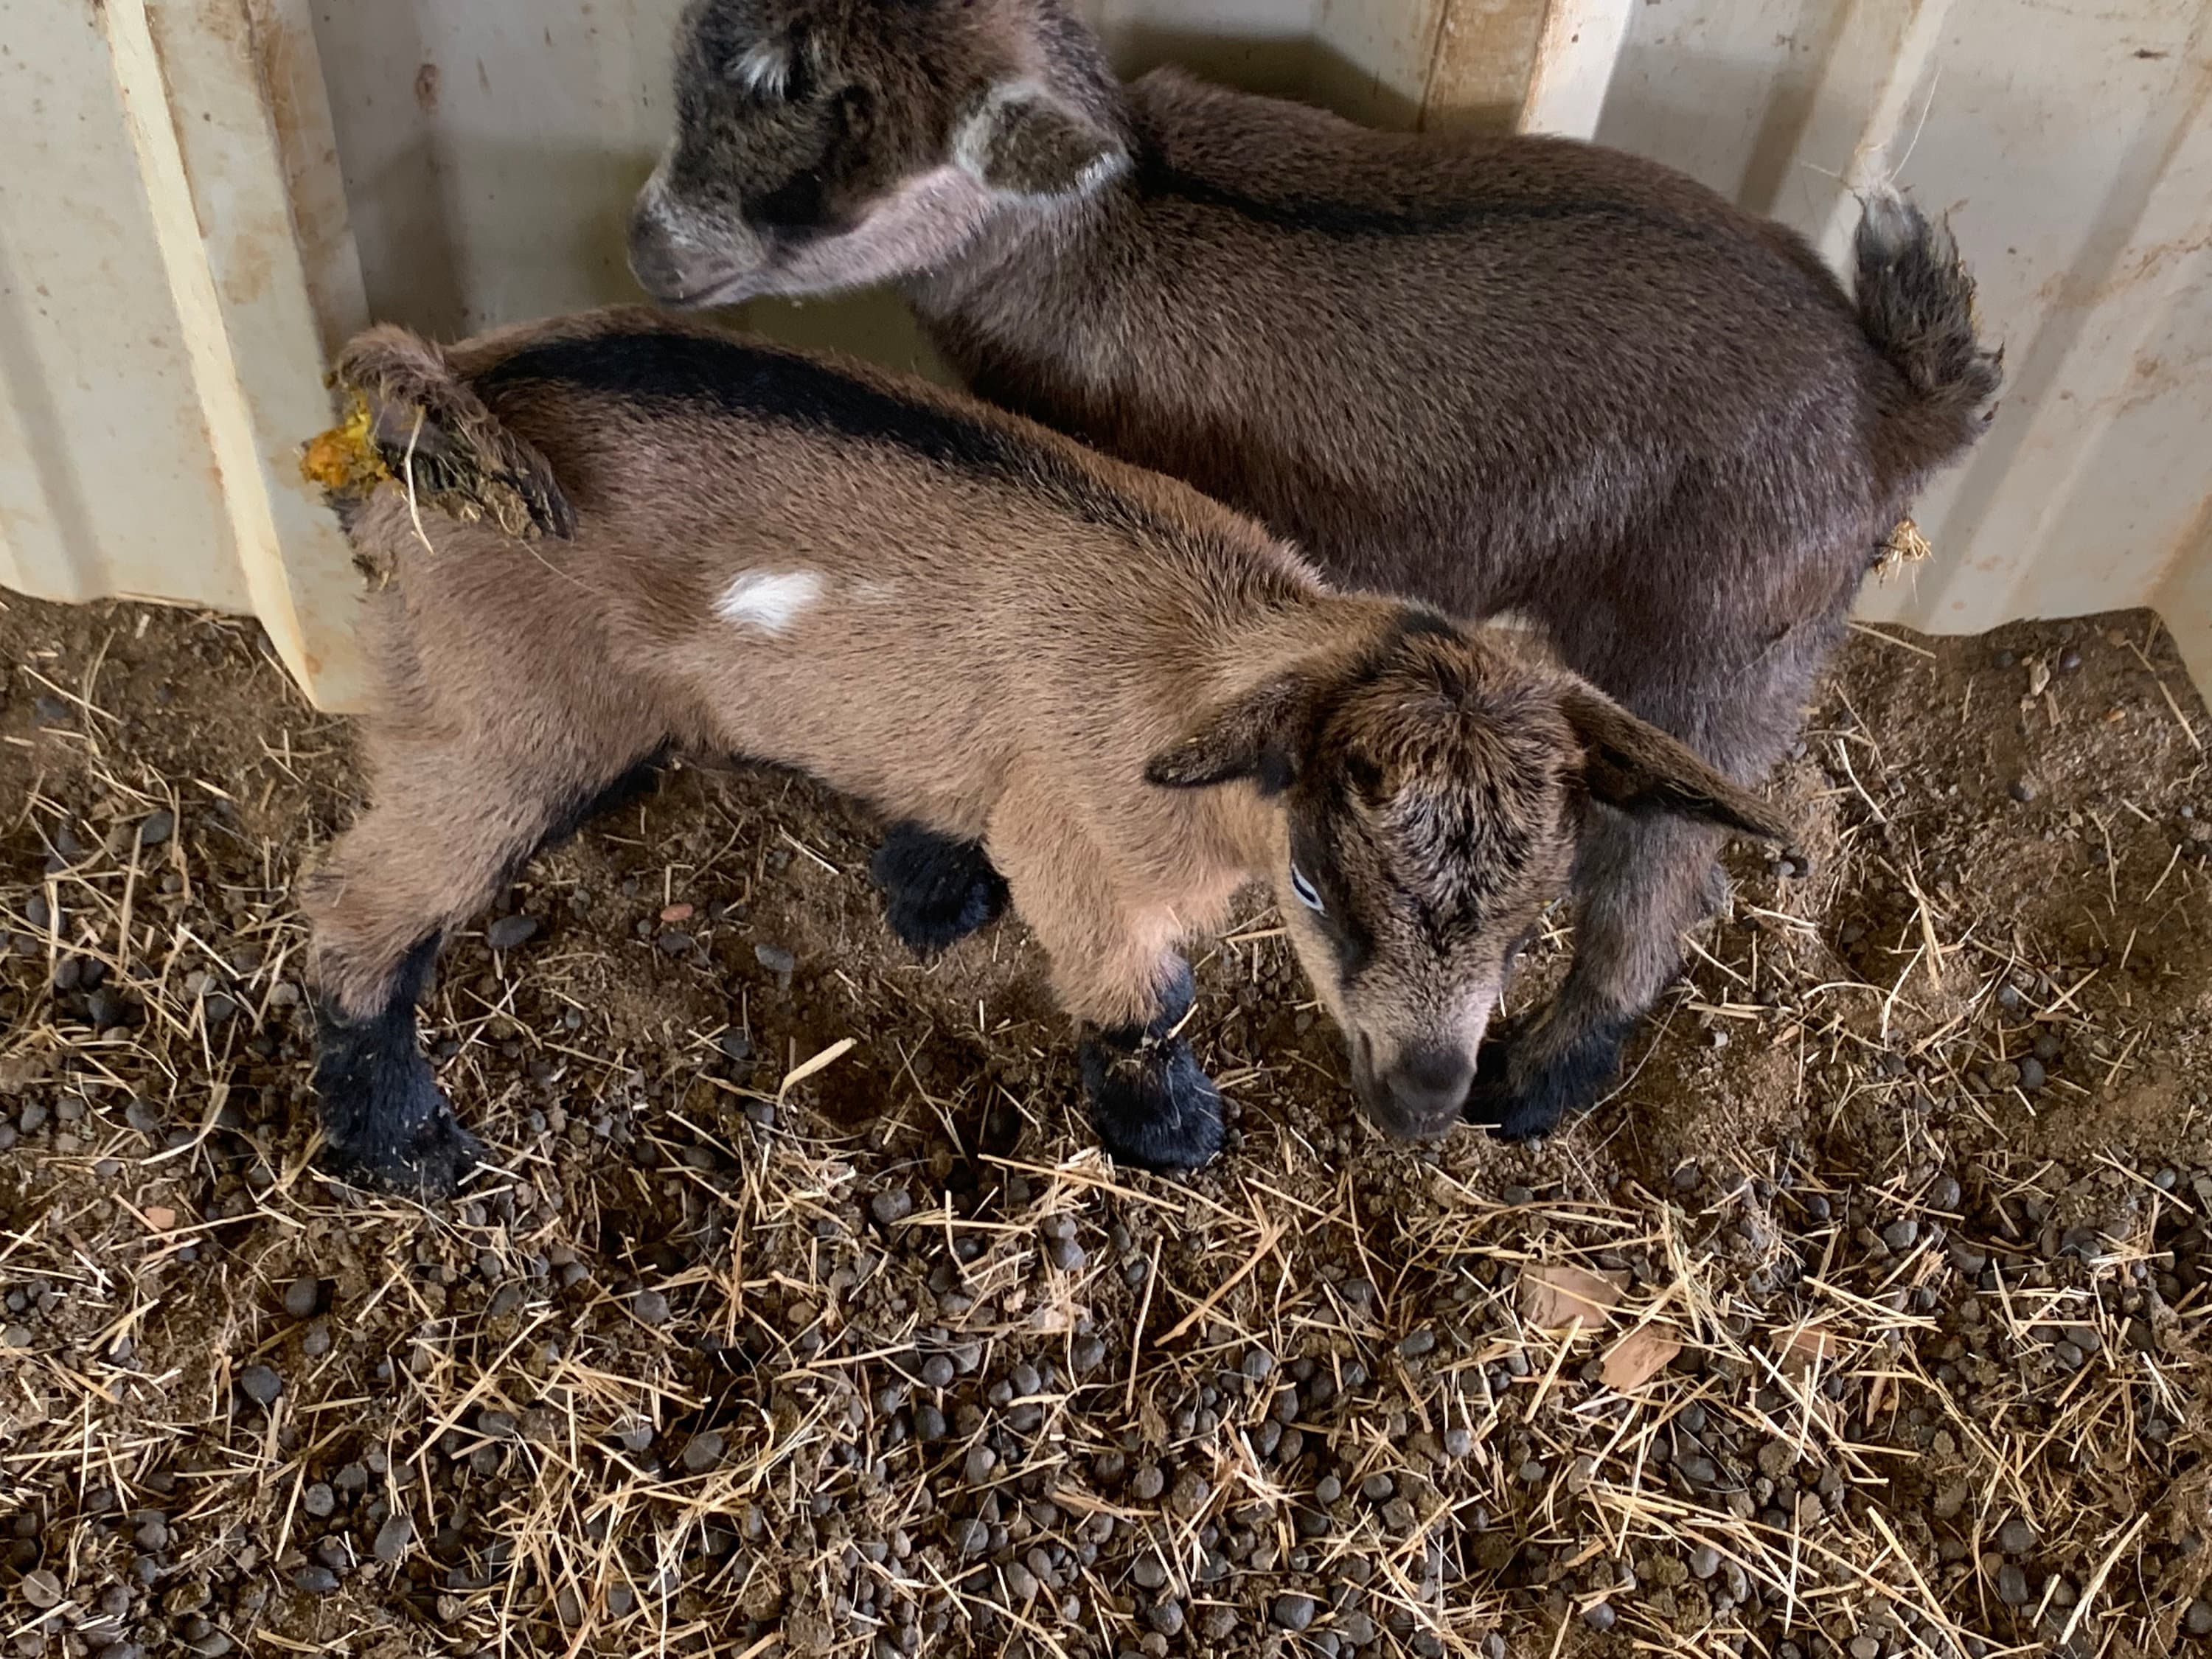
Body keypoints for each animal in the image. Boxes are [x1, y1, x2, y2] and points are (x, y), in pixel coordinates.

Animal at [301, 308, 1786, 1190]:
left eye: (1535, 919)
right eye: (1316, 888)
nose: (1424, 1101)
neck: (1208, 666)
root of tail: (453, 392)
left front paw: (929, 884)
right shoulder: (1085, 847)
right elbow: (1144, 996)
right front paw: (1170, 1131)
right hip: (500, 714)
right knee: (363, 904)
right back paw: (399, 1138)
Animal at [627, 0, 2001, 1141]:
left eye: (820, 182)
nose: (648, 251)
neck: (1109, 223)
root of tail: (1897, 404)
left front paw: (935, 872)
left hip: (1718, 635)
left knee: (1657, 872)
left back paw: (1537, 1083)